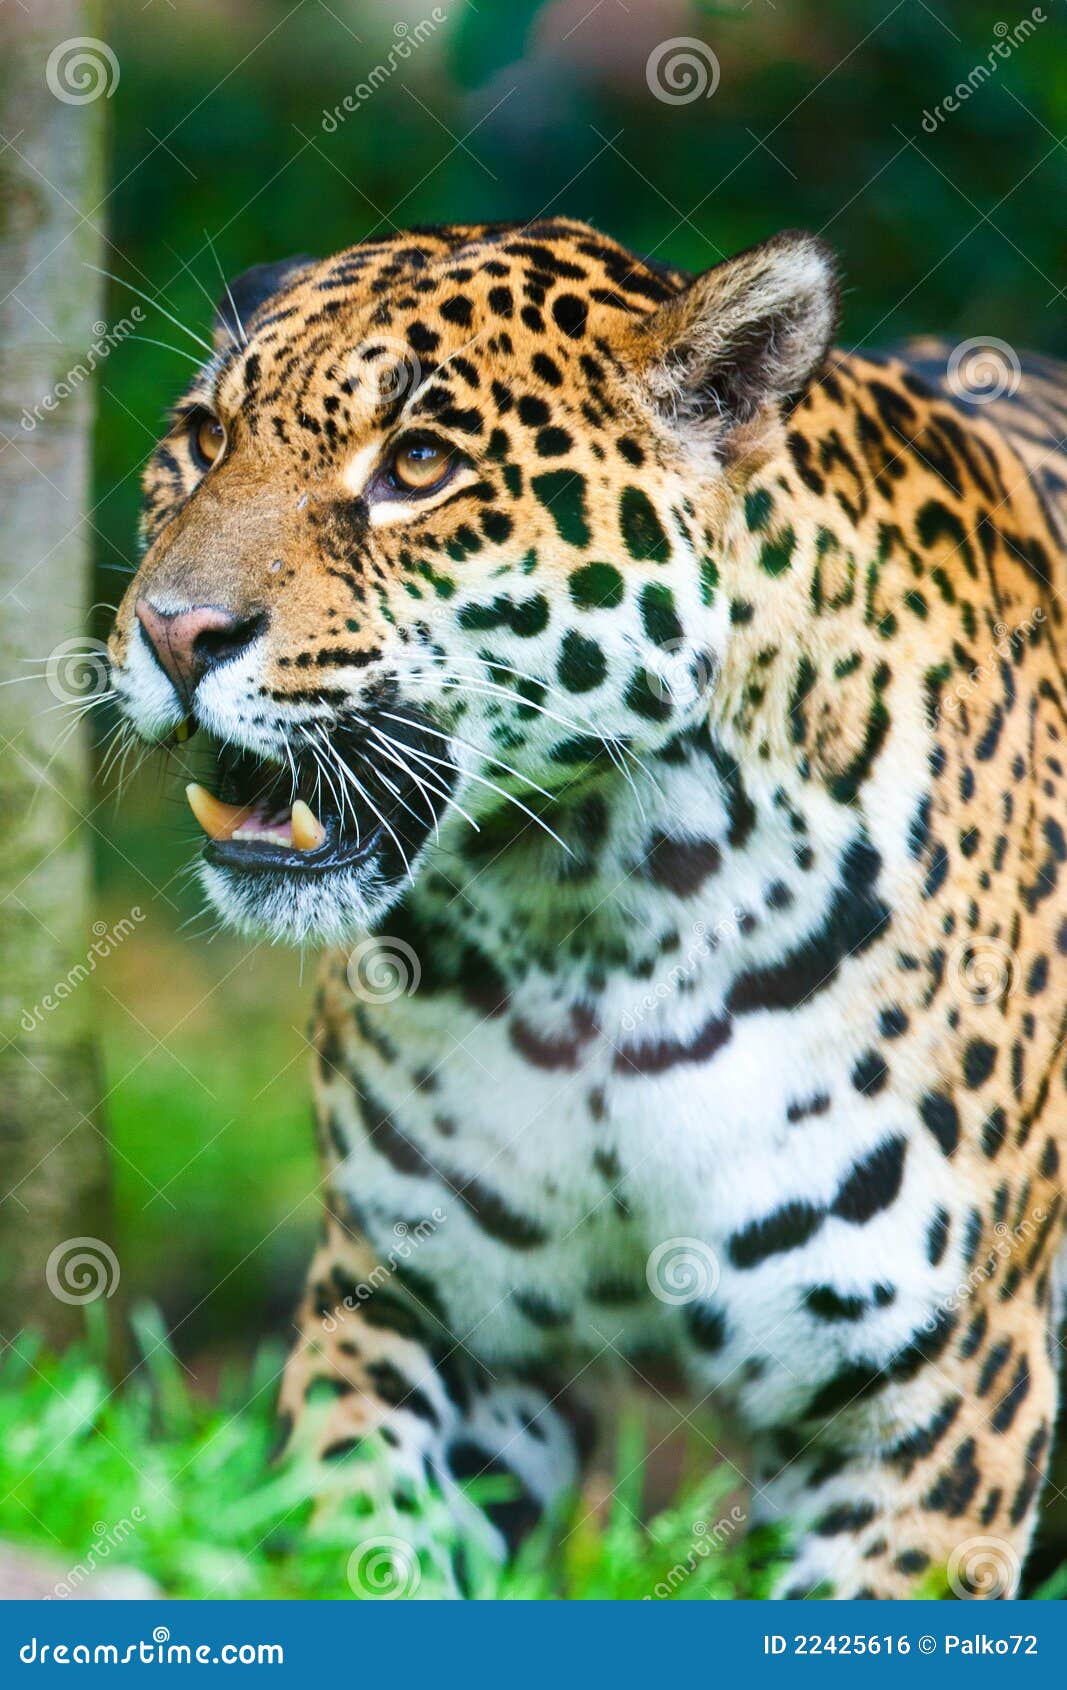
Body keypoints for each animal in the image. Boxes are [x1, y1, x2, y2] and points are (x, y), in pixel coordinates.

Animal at [107, 216, 1067, 1599]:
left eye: (417, 464)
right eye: (200, 438)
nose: (175, 632)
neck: (602, 912)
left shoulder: (923, 1406)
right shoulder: (423, 1314)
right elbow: (360, 1535)